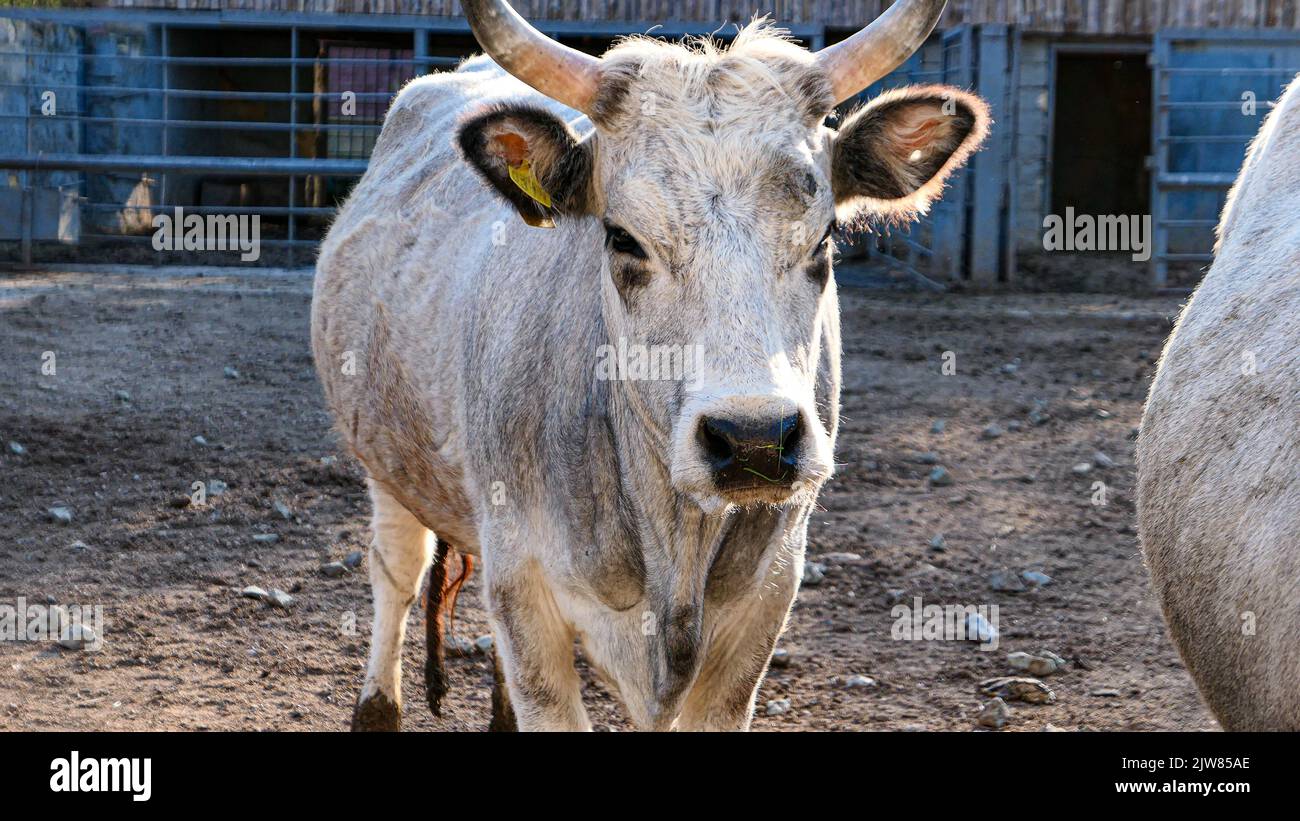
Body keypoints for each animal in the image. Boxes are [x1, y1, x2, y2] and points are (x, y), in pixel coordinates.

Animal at [311, 0, 989, 731]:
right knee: (396, 573)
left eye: (825, 238)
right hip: (385, 459)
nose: (754, 440)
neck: (675, 547)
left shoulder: (764, 602)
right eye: (621, 238)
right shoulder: (526, 591)